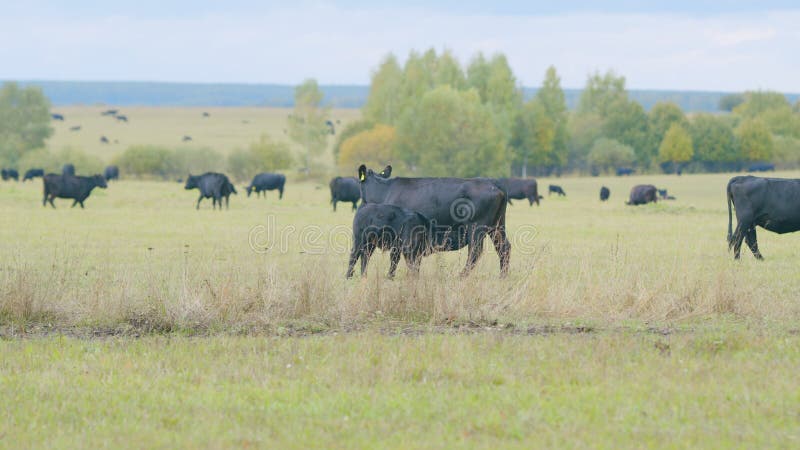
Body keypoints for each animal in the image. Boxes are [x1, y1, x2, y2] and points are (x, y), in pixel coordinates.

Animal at [358, 164, 510, 277]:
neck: (385, 191)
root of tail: (494, 184)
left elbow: (396, 257)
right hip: (497, 225)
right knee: (504, 247)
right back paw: (502, 277)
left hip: (476, 227)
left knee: (475, 252)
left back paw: (461, 276)